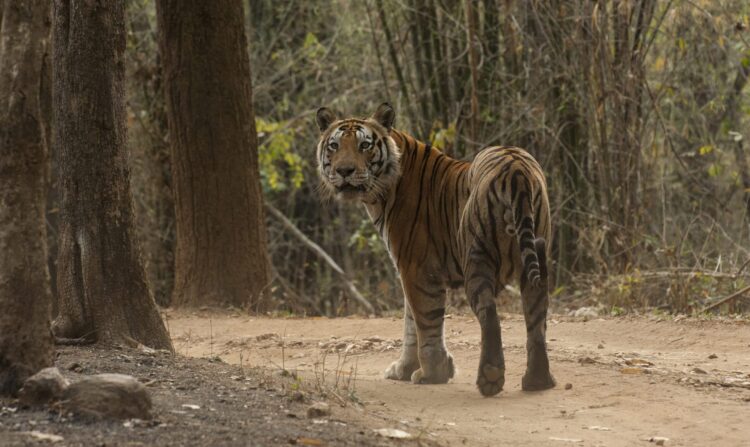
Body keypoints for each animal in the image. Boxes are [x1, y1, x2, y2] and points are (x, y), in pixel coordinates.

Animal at [315, 103, 555, 396]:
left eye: (364, 145)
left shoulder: (417, 267)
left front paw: (432, 373)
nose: (344, 171)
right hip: (536, 257)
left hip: (476, 255)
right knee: (536, 318)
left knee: (489, 315)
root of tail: (517, 170)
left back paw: (490, 378)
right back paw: (537, 380)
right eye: (334, 145)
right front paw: (404, 369)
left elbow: (424, 322)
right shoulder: (408, 268)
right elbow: (411, 323)